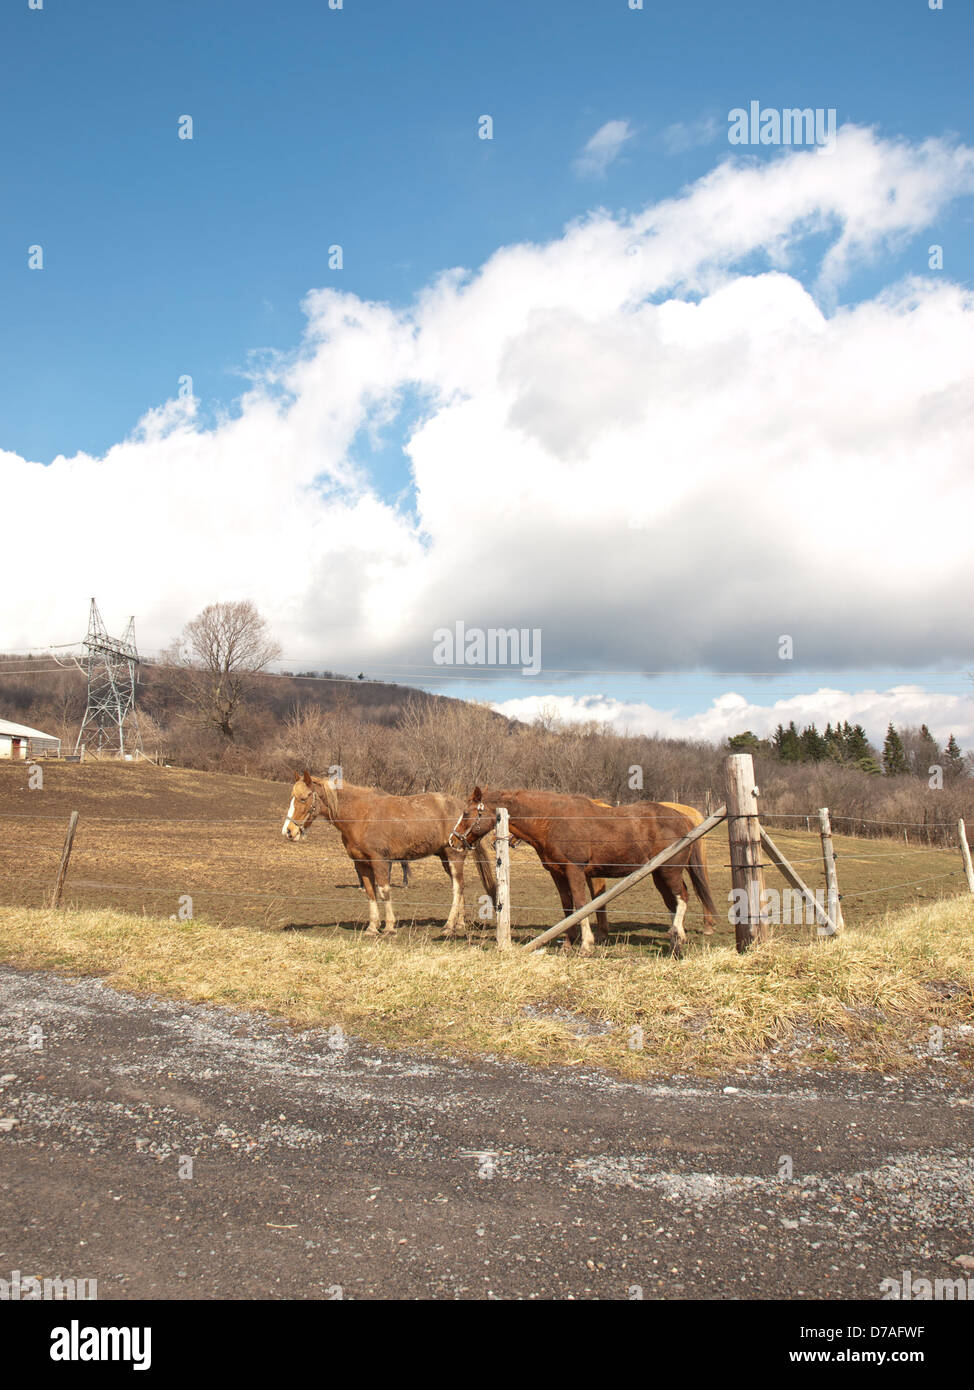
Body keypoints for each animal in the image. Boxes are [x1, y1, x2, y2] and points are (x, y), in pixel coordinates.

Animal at [282, 771, 496, 937]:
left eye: (303, 798)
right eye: (291, 797)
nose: (288, 831)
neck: (361, 816)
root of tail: (462, 807)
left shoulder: (380, 861)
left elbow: (384, 891)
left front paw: (390, 927)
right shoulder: (361, 864)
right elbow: (371, 893)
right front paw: (372, 927)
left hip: (454, 856)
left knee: (457, 888)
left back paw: (449, 926)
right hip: (445, 857)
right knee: (458, 887)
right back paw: (460, 923)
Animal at [451, 787, 717, 957]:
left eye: (466, 813)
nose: (454, 841)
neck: (552, 820)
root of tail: (683, 819)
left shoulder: (575, 871)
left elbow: (580, 905)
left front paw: (586, 945)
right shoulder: (558, 874)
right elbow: (568, 907)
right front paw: (568, 942)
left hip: (669, 872)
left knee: (682, 898)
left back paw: (678, 936)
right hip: (659, 874)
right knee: (675, 901)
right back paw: (677, 937)